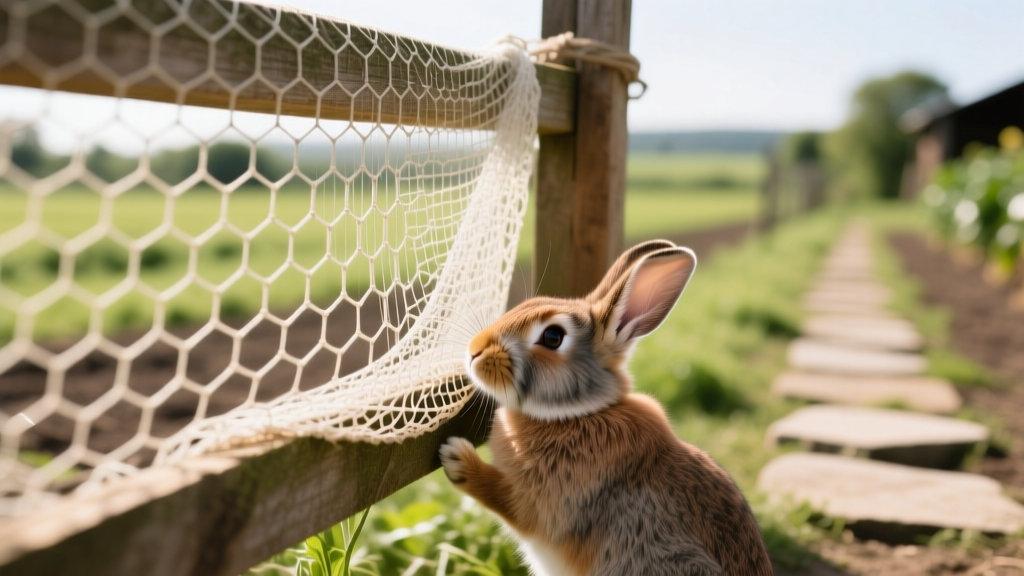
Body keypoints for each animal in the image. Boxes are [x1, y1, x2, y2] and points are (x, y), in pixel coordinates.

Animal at [439, 240, 773, 576]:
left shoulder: (551, 501)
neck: (577, 413)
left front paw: (456, 458)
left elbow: (505, 497)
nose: (474, 350)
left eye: (552, 336)